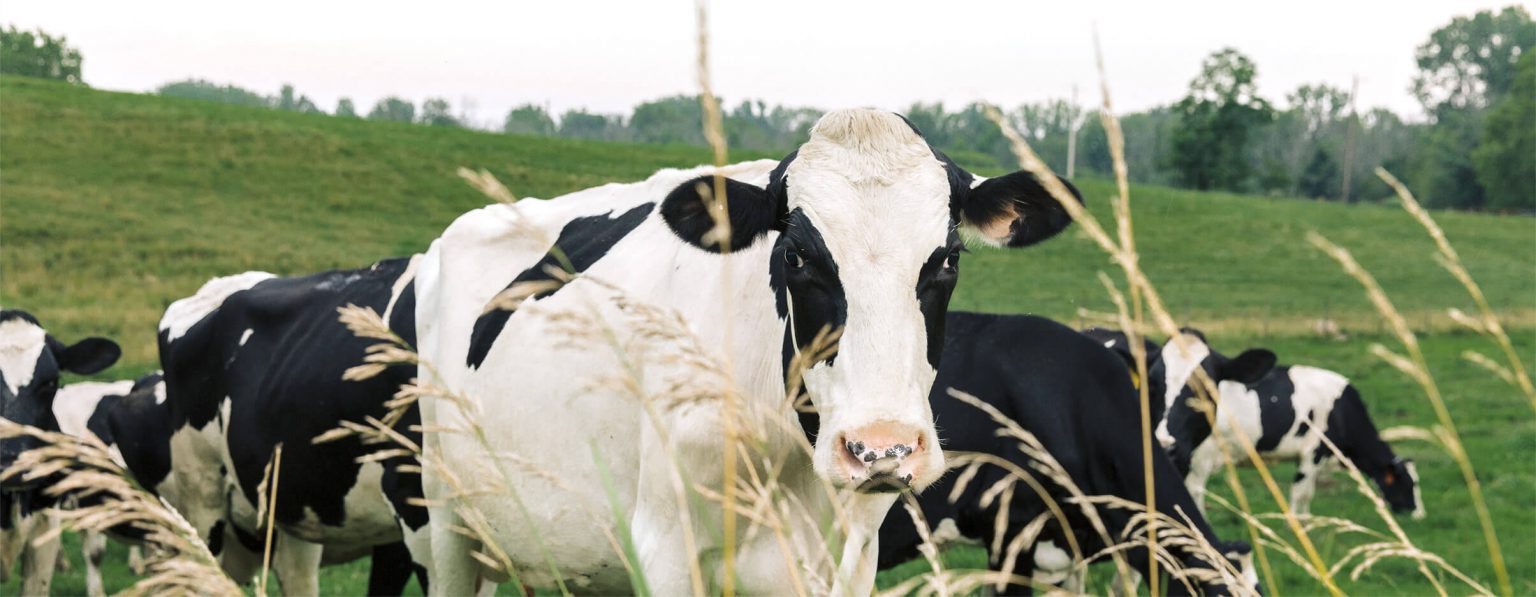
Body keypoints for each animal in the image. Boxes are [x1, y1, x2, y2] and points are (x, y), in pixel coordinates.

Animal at [412, 109, 1081, 595]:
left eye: (947, 259)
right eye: (795, 256)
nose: (880, 448)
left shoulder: (854, 557)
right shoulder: (665, 548)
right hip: (445, 522)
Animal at [1154, 329, 1423, 519]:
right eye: (1409, 484)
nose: (1419, 514)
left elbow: (1306, 492)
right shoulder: (1313, 451)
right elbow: (1302, 491)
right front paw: (1300, 525)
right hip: (1200, 457)